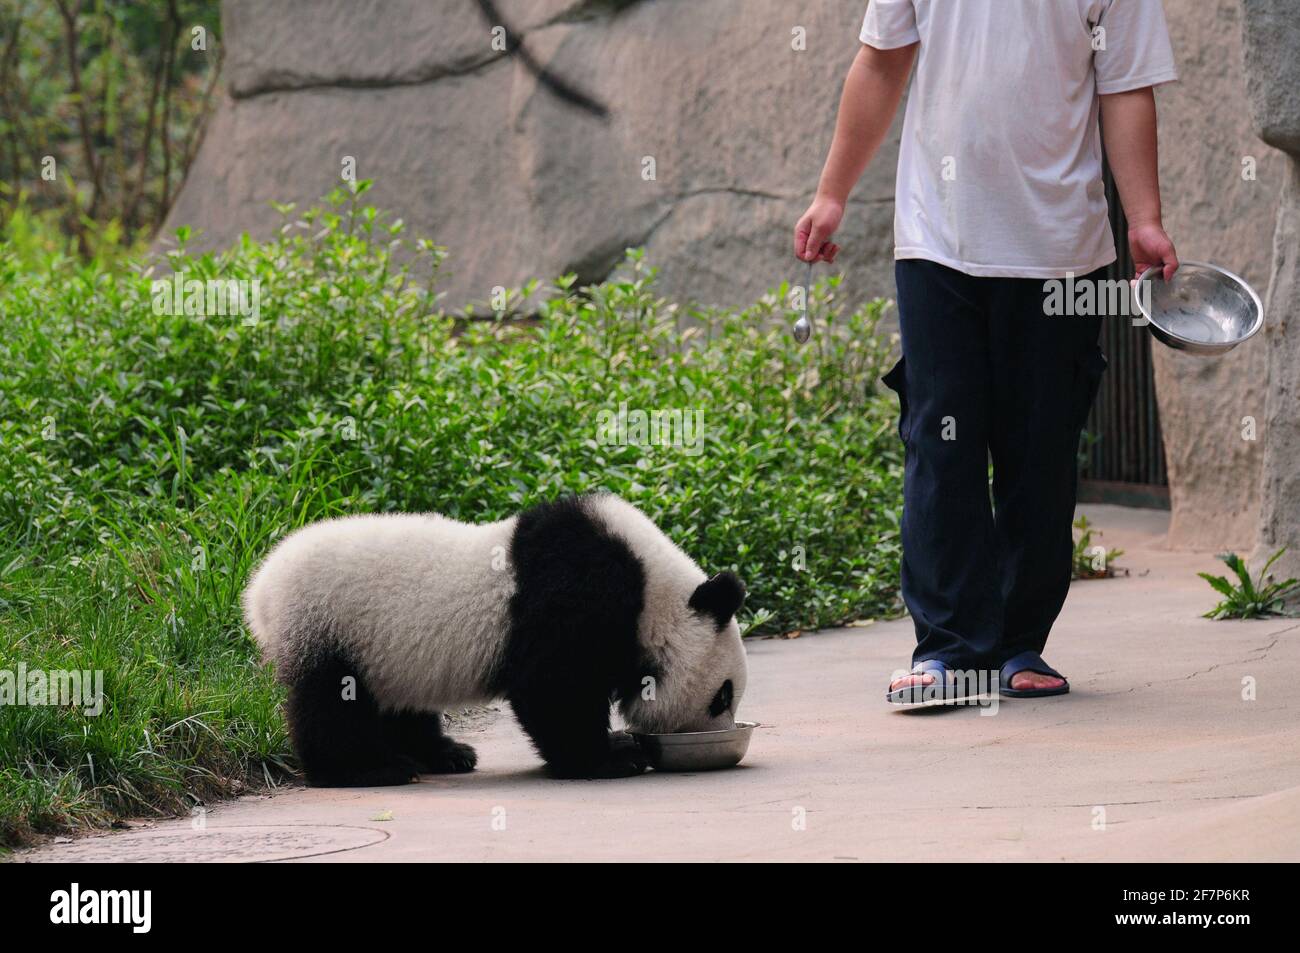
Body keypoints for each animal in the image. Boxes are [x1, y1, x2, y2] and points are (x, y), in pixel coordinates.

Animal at [242, 492, 748, 786]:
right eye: (722, 697)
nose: (722, 732)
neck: (652, 593)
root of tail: (261, 588)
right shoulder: (576, 596)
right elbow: (554, 689)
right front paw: (611, 758)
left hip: (387, 651)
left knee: (399, 702)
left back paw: (445, 754)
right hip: (330, 626)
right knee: (331, 706)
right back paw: (367, 769)